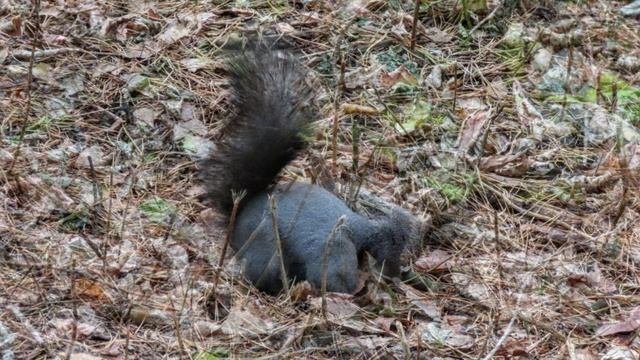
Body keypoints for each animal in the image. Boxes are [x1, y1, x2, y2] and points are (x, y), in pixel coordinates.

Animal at [200, 41, 420, 296]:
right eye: (391, 255)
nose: (396, 276)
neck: (361, 232)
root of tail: (239, 214)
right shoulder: (332, 253)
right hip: (266, 248)